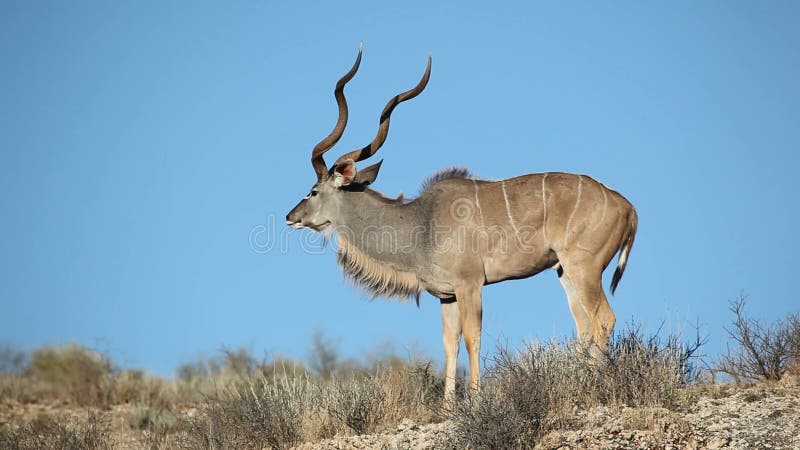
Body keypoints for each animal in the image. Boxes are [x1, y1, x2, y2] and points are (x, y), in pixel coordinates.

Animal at [286, 46, 638, 404]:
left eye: (313, 191)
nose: (291, 217)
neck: (420, 222)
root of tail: (627, 206)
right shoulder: (448, 296)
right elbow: (449, 343)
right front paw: (448, 405)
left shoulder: (471, 284)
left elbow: (472, 336)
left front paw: (476, 399)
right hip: (564, 272)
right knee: (584, 326)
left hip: (584, 267)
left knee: (603, 319)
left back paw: (593, 385)